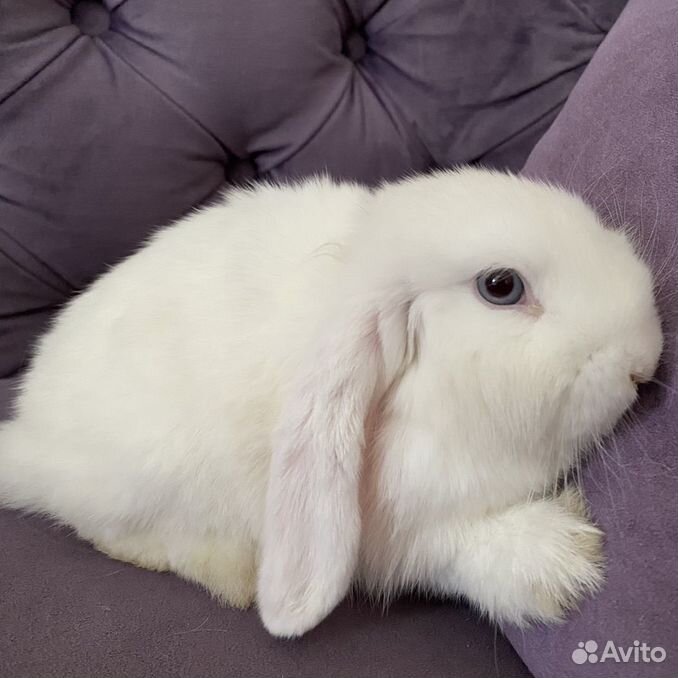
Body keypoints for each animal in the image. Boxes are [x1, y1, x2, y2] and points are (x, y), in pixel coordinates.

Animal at [0, 168, 663, 638]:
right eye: (501, 287)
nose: (645, 360)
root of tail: (28, 436)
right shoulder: (395, 532)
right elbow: (451, 550)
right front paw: (562, 563)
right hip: (140, 485)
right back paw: (232, 575)